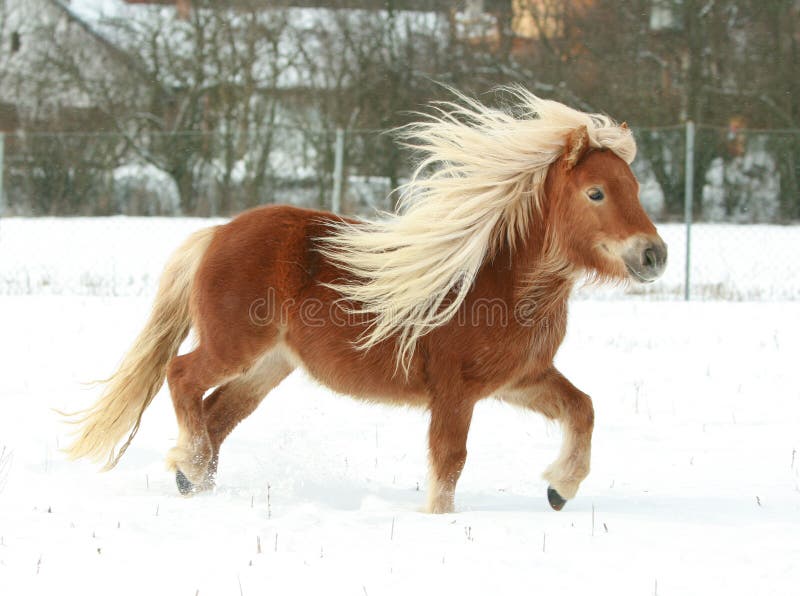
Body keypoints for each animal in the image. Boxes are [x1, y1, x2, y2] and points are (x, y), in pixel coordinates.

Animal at [64, 87, 667, 513]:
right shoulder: (454, 392)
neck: (497, 282)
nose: (654, 255)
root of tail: (217, 233)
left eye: (634, 189)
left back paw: (196, 480)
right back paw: (189, 464)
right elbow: (449, 463)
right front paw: (440, 520)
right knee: (182, 376)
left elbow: (583, 408)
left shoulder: (520, 379)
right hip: (235, 346)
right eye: (596, 193)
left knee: (217, 413)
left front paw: (560, 489)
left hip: (271, 365)